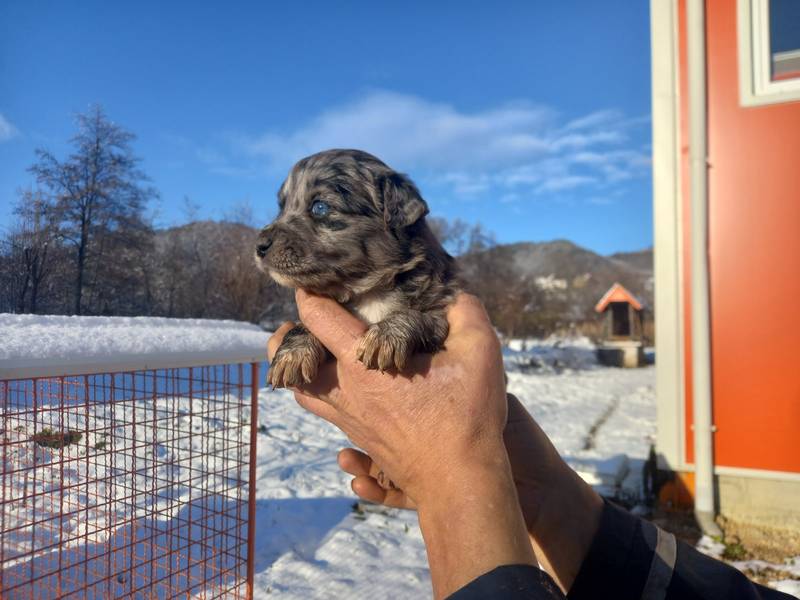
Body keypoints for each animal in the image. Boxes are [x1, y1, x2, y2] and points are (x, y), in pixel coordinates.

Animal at [253, 148, 460, 386]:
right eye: (281, 208)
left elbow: (418, 316)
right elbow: (302, 326)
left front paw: (386, 335)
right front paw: (292, 353)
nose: (258, 246)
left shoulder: (439, 316)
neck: (367, 291)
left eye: (320, 207)